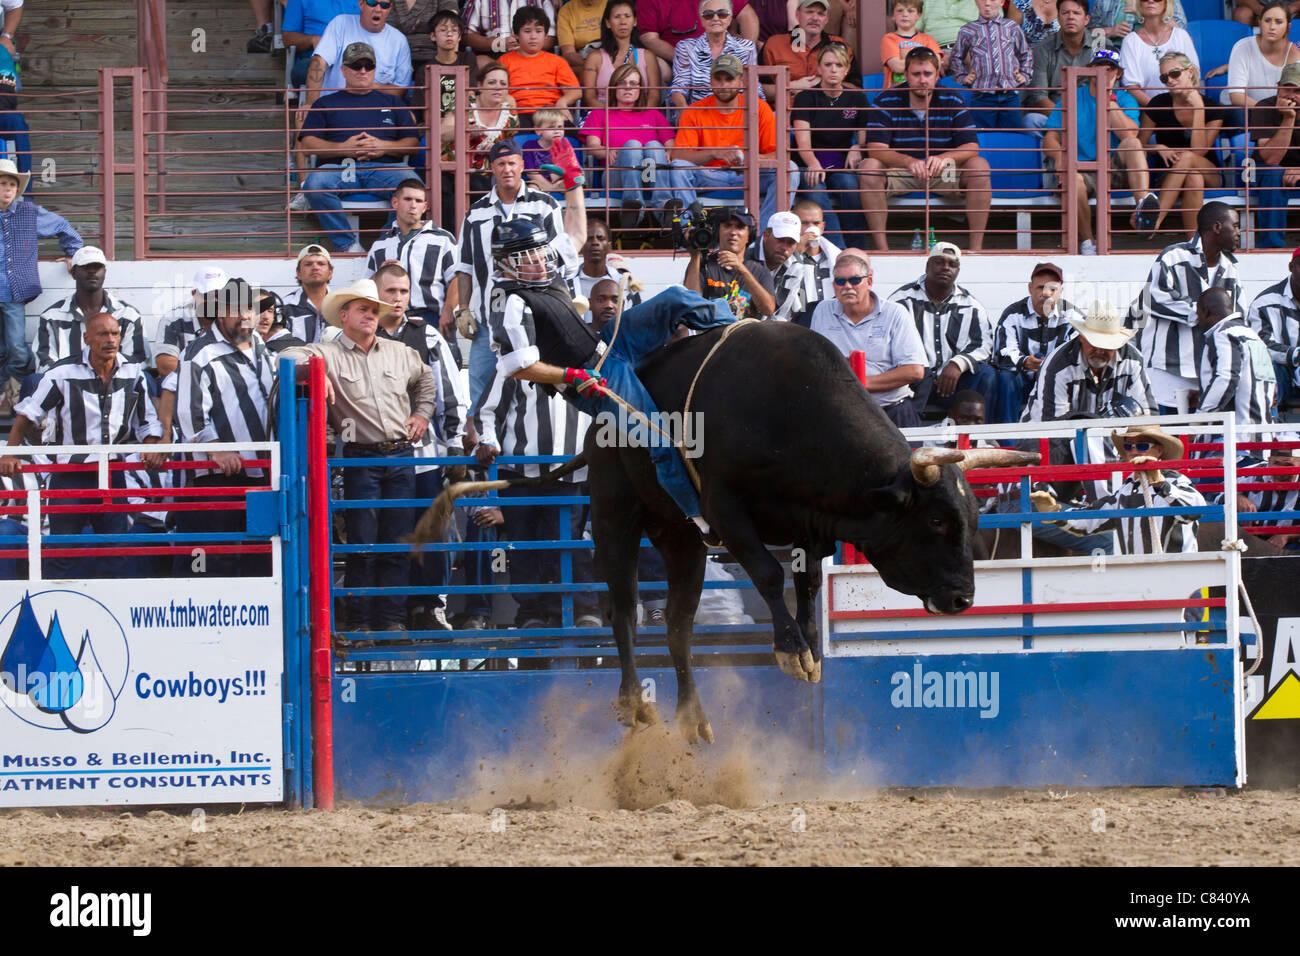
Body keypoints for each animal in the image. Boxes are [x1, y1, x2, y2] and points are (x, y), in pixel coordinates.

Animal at [414, 320, 1036, 744]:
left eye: (972, 519)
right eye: (936, 519)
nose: (962, 598)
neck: (791, 408)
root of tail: (596, 425)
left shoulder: (810, 525)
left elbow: (806, 585)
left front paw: (809, 647)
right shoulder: (726, 507)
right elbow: (765, 572)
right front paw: (790, 649)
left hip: (682, 541)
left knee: (679, 627)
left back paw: (693, 716)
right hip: (616, 517)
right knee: (623, 613)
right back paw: (633, 703)